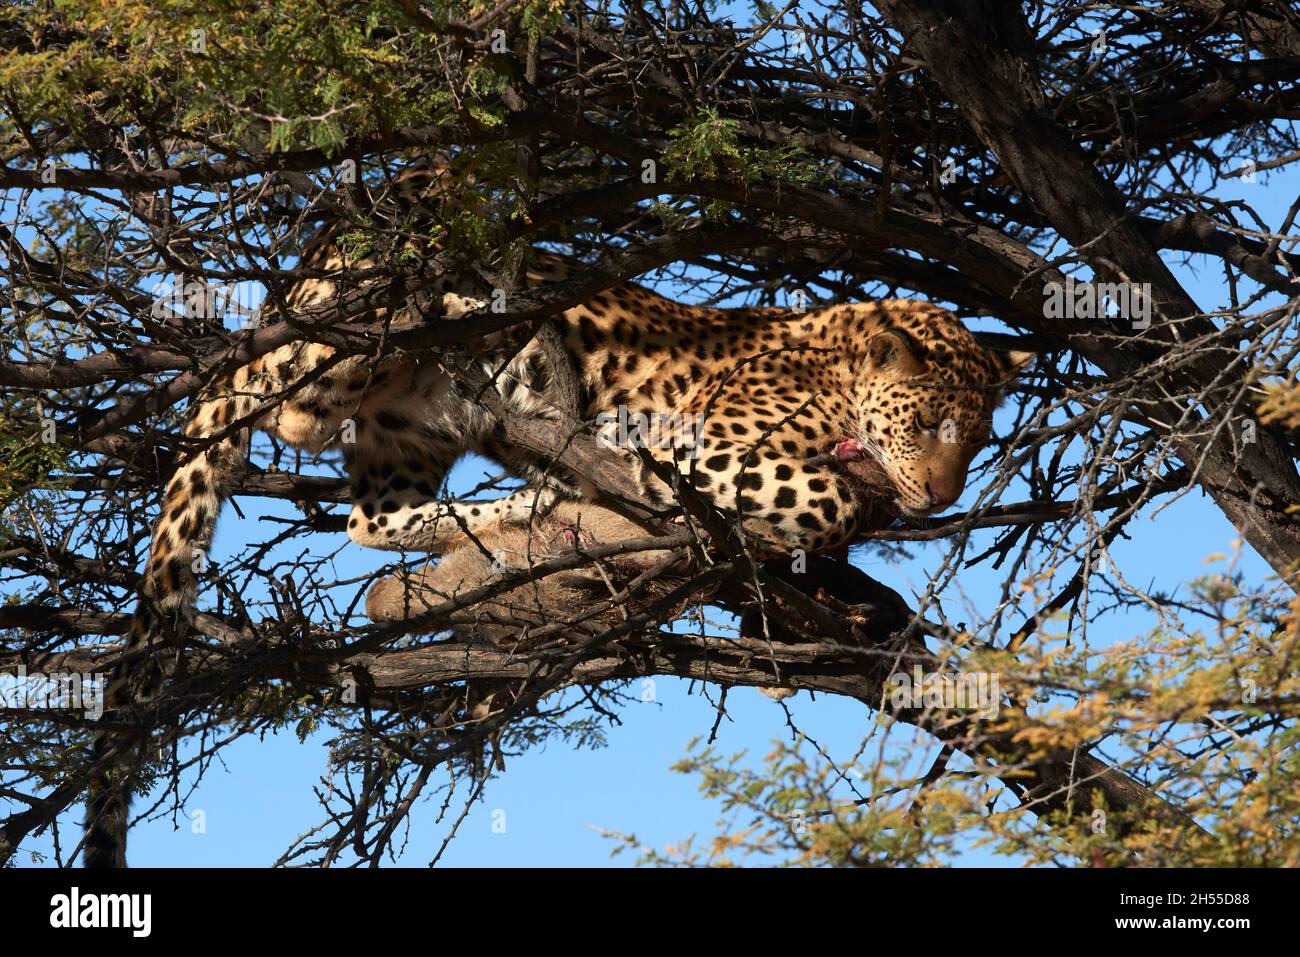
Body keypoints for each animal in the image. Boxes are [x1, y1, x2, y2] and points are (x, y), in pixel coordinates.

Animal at [84, 159, 1032, 867]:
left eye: (980, 438)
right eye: (931, 425)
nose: (942, 497)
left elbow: (823, 561)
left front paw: (861, 608)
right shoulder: (709, 451)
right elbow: (823, 504)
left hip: (406, 439)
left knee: (372, 517)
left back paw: (530, 500)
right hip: (350, 320)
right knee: (292, 406)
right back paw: (497, 339)